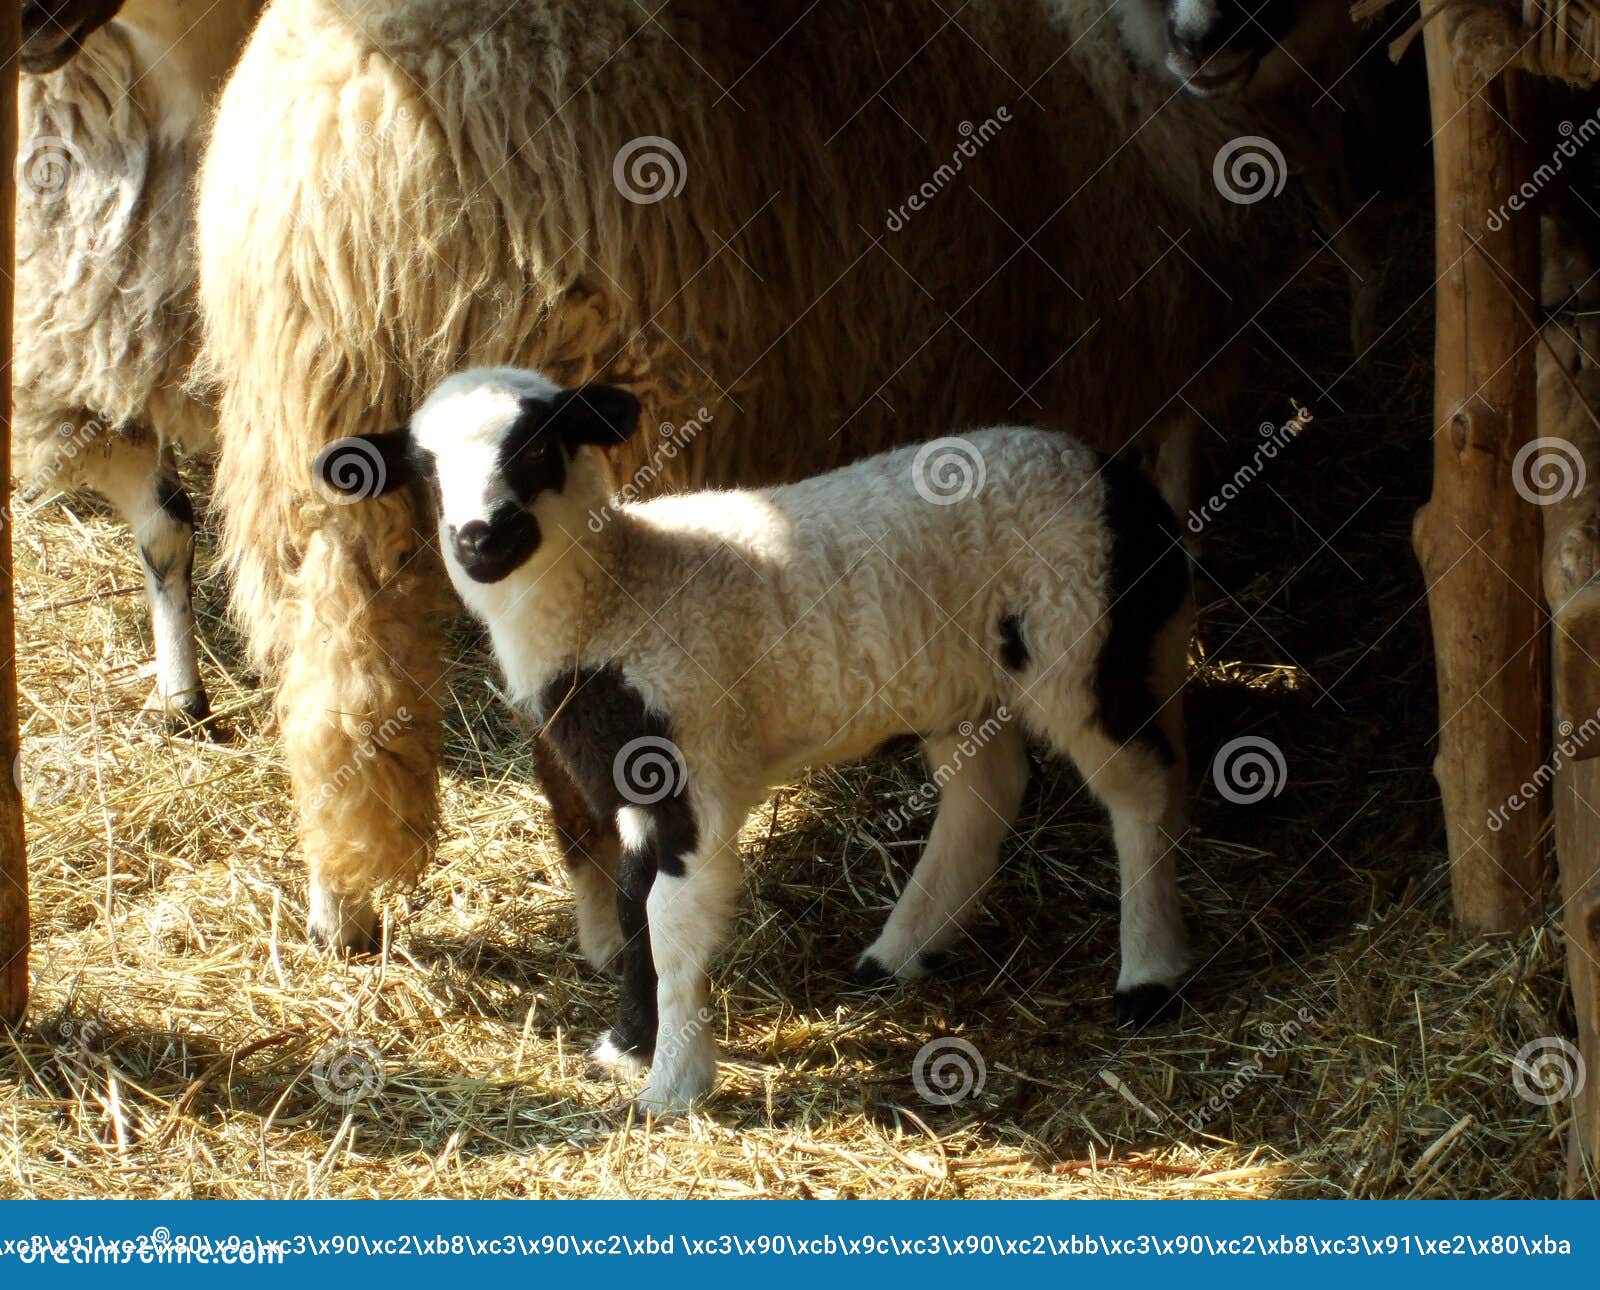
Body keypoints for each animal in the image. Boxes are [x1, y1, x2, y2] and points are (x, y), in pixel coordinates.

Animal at [196, 0, 1376, 950]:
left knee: (333, 695)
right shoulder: (1101, 358)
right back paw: (604, 926)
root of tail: (350, 146)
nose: (1208, 39)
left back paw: (339, 911)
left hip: (301, 470)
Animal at [315, 366, 1194, 1108]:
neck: (619, 592)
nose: (479, 539)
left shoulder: (692, 761)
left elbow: (669, 922)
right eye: (426, 472)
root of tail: (1121, 483)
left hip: (1078, 643)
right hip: (962, 678)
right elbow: (632, 906)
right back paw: (896, 954)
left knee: (1142, 788)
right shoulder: (638, 786)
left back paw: (1149, 978)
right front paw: (629, 1045)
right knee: (988, 793)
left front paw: (671, 1086)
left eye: (537, 447)